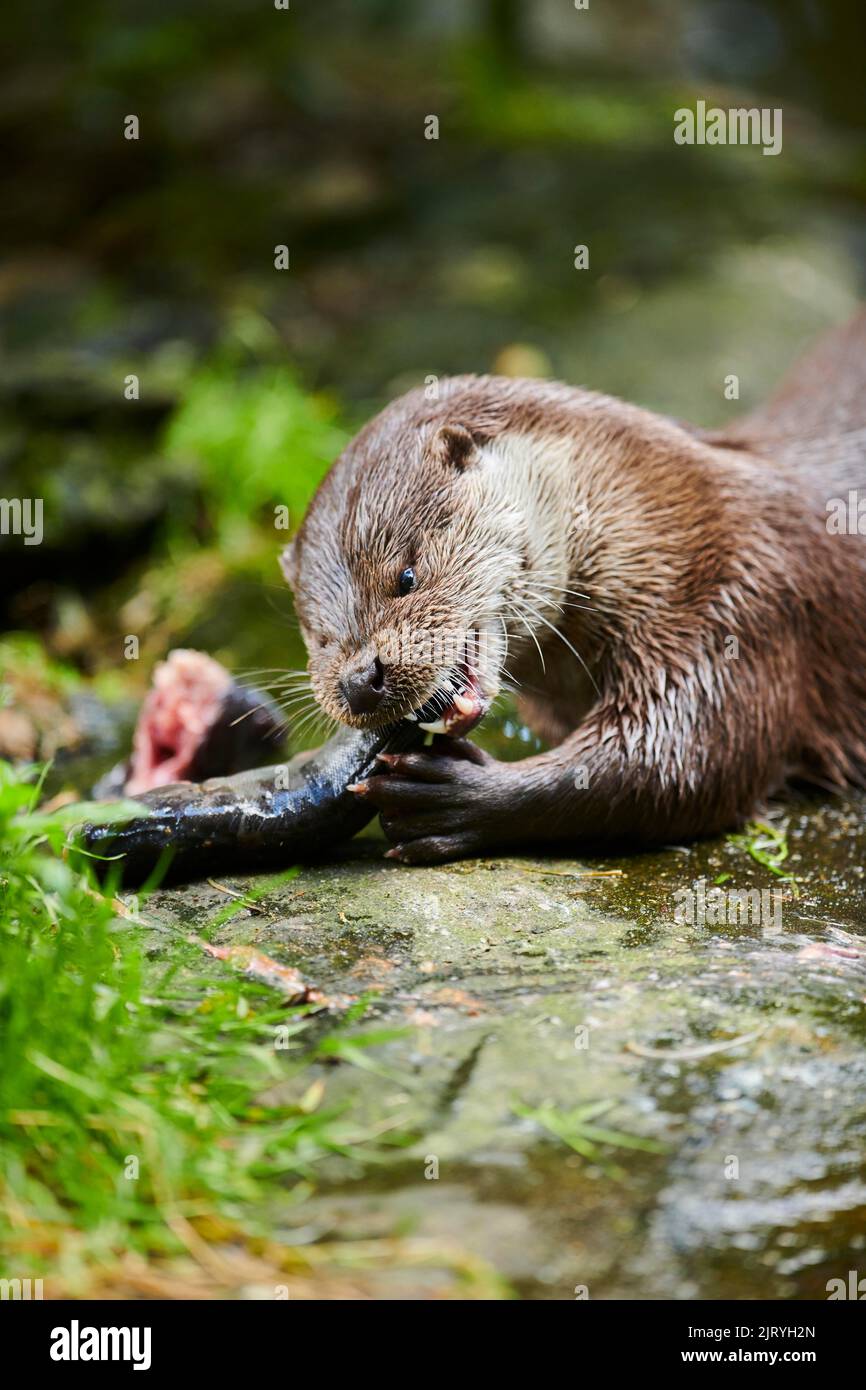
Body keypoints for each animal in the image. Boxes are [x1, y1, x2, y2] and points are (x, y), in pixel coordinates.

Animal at [281, 311, 866, 864]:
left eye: (406, 576)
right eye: (316, 637)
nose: (359, 681)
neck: (667, 525)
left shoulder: (738, 603)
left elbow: (685, 762)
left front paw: (459, 796)